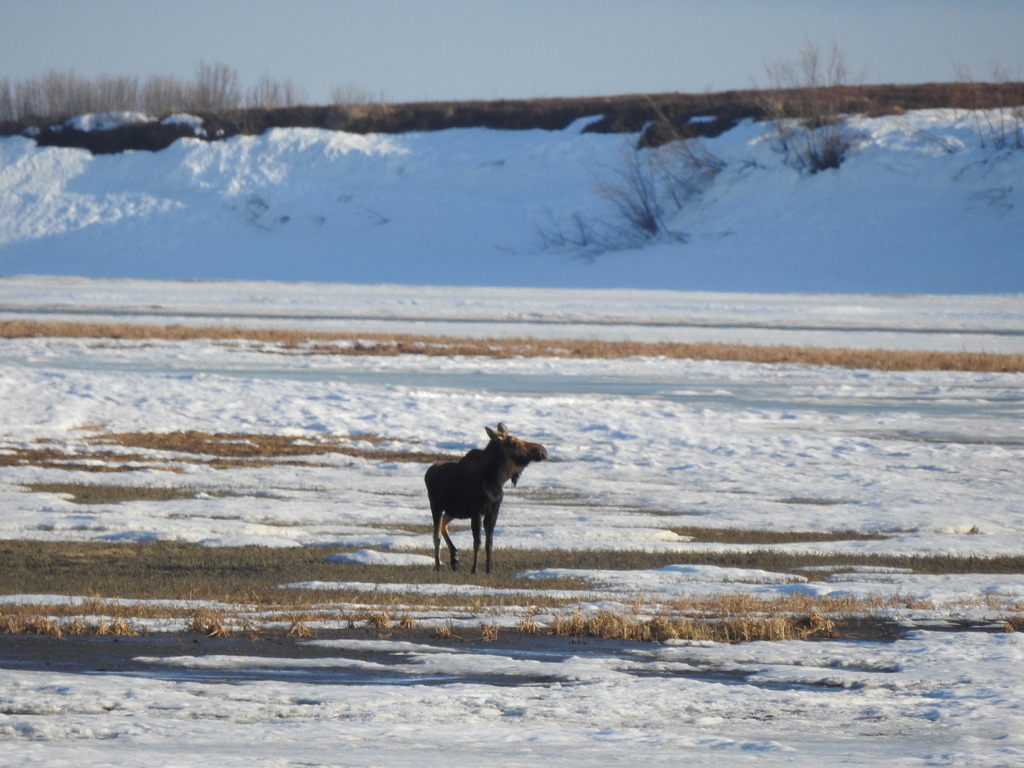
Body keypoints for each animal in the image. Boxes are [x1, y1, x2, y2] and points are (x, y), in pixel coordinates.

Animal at [424, 424, 547, 574]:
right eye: (514, 442)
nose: (542, 451)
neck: (497, 479)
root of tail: (427, 473)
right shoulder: (476, 512)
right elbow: (477, 542)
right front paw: (474, 569)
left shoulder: (493, 511)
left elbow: (489, 543)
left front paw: (489, 569)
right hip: (436, 506)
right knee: (436, 535)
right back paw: (438, 565)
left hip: (453, 511)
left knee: (443, 526)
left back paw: (454, 558)